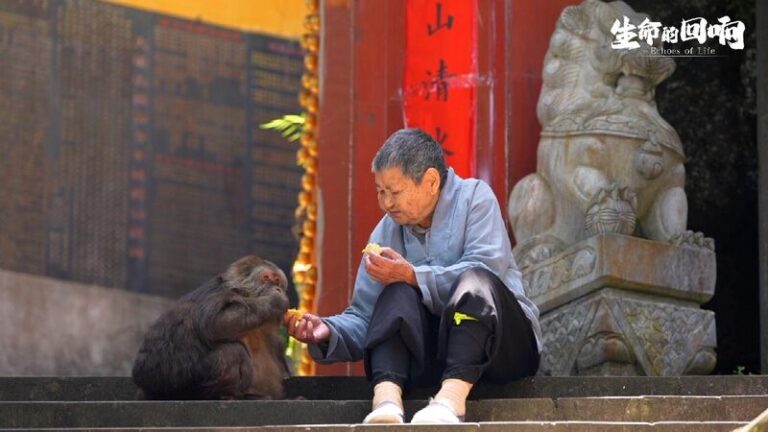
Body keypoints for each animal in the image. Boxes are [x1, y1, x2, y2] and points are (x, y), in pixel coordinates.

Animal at [131, 255, 290, 400]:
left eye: (277, 280)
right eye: (266, 278)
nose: (276, 287)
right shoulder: (220, 293)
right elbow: (214, 323)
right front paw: (274, 300)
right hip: (179, 383)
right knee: (232, 351)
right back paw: (220, 395)